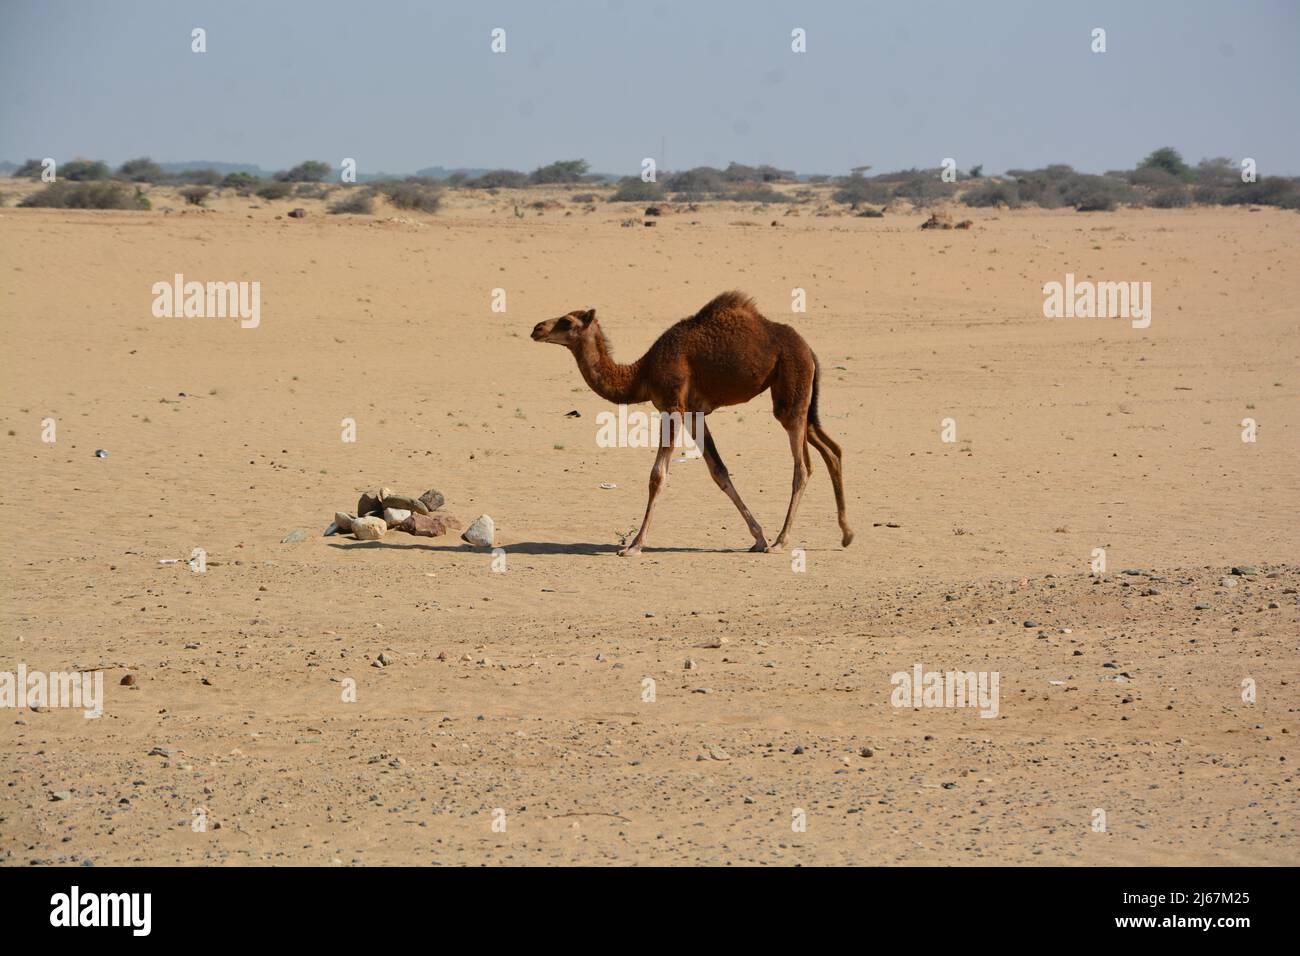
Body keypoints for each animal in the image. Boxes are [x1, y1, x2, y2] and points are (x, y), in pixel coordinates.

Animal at [531, 291, 853, 556]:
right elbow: (719, 471)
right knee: (832, 449)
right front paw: (758, 536)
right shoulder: (694, 413)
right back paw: (846, 534)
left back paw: (782, 541)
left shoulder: (673, 406)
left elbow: (657, 475)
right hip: (799, 399)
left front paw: (634, 545)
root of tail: (809, 351)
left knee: (803, 467)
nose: (537, 328)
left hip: (791, 389)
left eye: (567, 321)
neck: (642, 373)